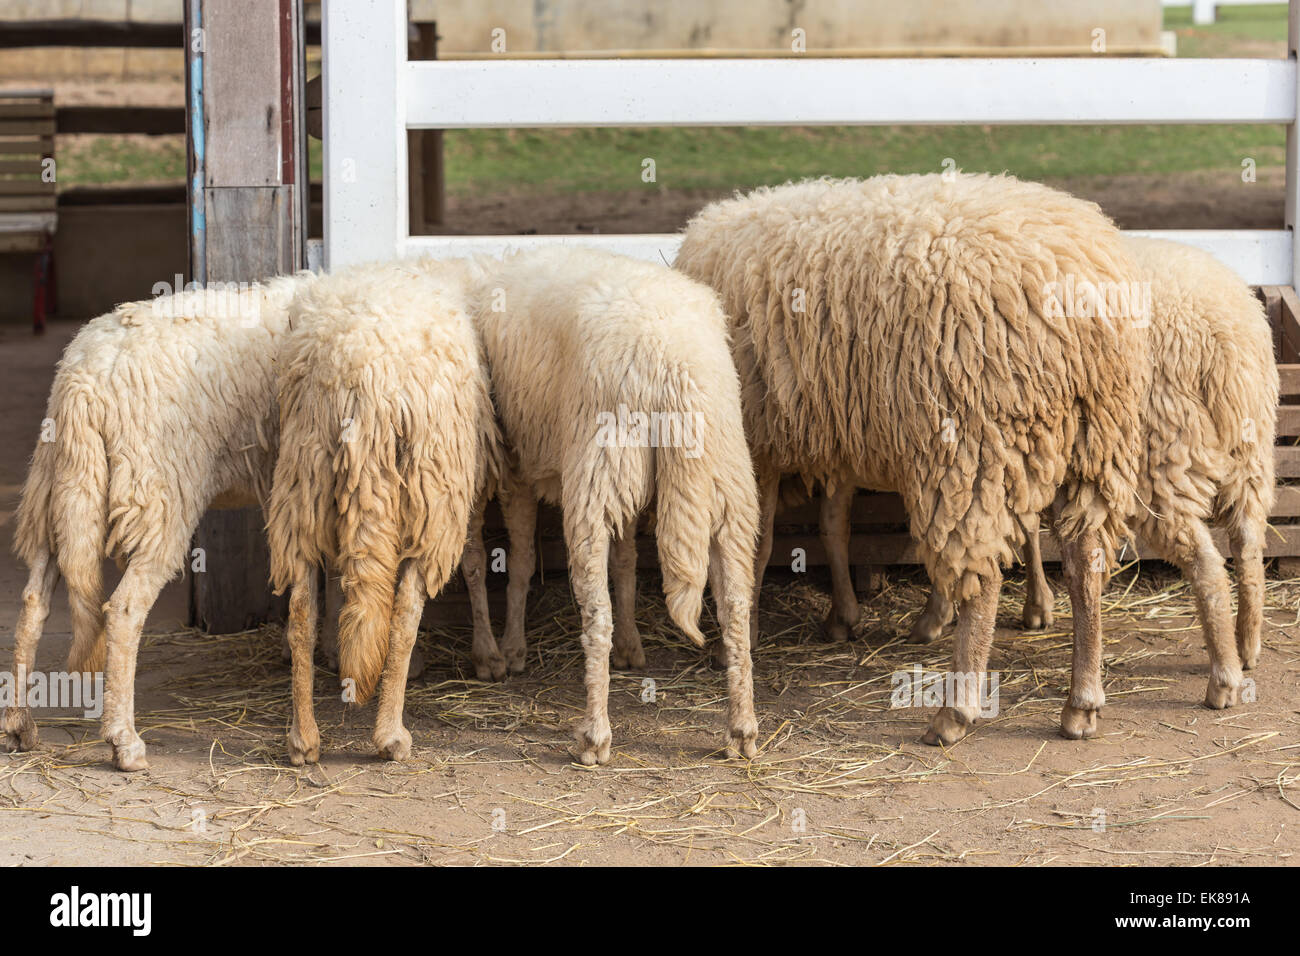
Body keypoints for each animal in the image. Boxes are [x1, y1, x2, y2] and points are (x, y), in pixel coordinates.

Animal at [3, 274, 318, 771]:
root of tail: (82, 379)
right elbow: (306, 608)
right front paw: (305, 740)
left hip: (62, 488)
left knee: (34, 601)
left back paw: (19, 725)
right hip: (157, 493)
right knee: (123, 610)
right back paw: (124, 742)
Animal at [267, 258, 502, 764]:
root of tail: (361, 376)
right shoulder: (464, 479)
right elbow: (475, 562)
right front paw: (488, 655)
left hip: (303, 478)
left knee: (300, 609)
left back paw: (303, 738)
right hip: (432, 485)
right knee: (405, 611)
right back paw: (391, 734)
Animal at [463, 246, 760, 765]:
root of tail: (673, 364)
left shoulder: (519, 464)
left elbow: (519, 560)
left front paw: (512, 649)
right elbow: (626, 562)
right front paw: (631, 646)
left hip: (598, 470)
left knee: (594, 612)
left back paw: (595, 735)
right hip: (725, 480)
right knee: (736, 606)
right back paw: (742, 729)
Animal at [675, 172, 1150, 745]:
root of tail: (1079, 290)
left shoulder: (760, 441)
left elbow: (759, 546)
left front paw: (746, 634)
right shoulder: (842, 430)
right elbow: (834, 525)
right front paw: (842, 616)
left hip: (976, 439)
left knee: (986, 580)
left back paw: (955, 711)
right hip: (1094, 441)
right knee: (1084, 562)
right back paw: (1081, 701)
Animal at [909, 236, 1278, 710]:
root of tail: (1223, 337)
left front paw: (937, 613)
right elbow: (1024, 527)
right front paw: (1037, 605)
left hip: (1161, 450)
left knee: (1206, 560)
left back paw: (1223, 680)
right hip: (1251, 450)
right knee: (1248, 545)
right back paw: (1246, 646)